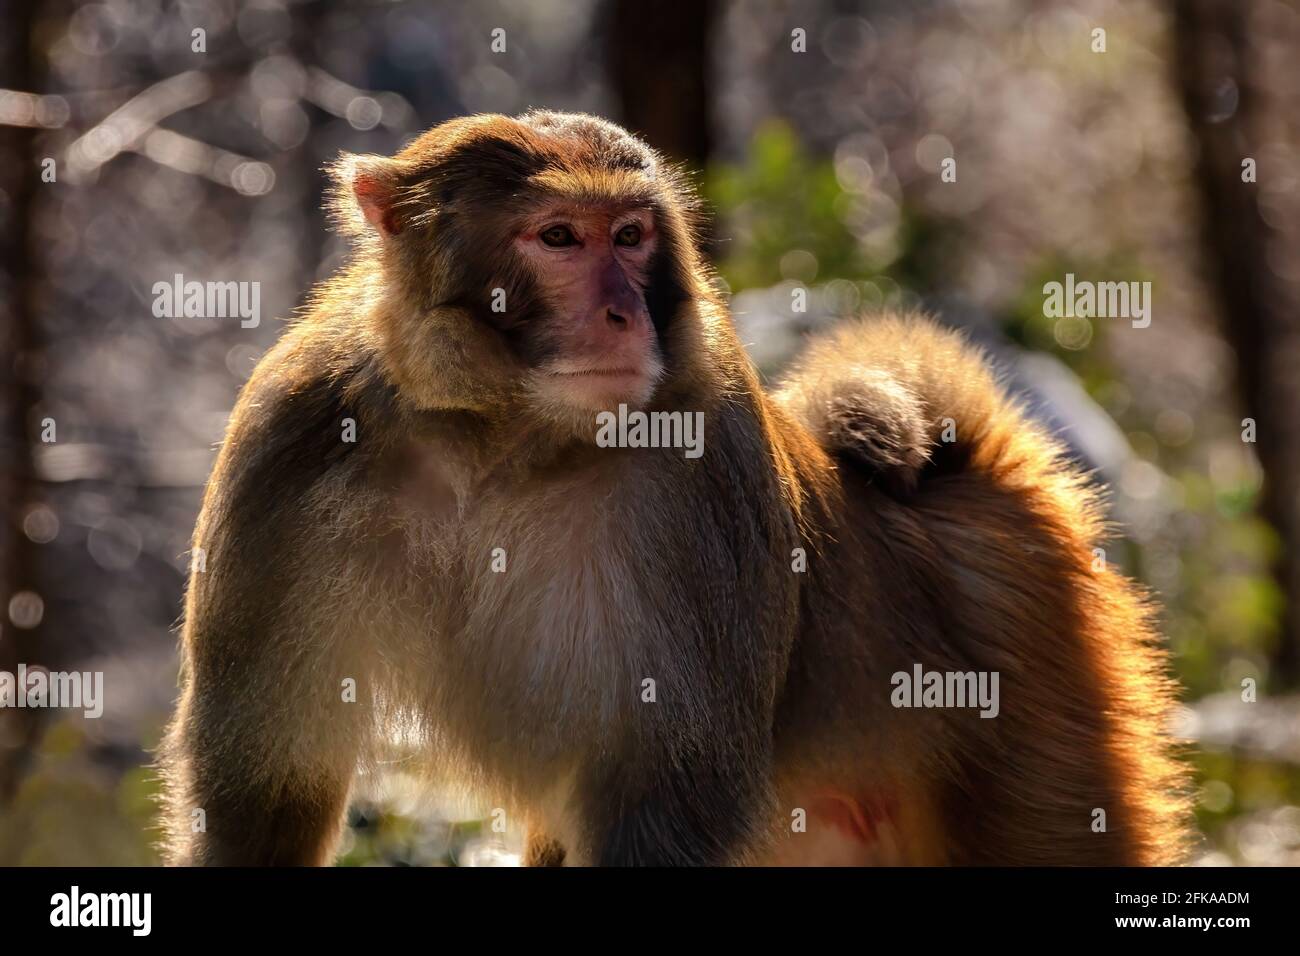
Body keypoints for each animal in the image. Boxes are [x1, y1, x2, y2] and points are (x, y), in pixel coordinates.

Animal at [157, 110, 1191, 867]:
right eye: (559, 238)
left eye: (631, 235)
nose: (625, 315)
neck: (499, 436)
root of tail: (972, 466)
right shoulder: (286, 440)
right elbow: (264, 793)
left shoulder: (706, 464)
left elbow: (665, 802)